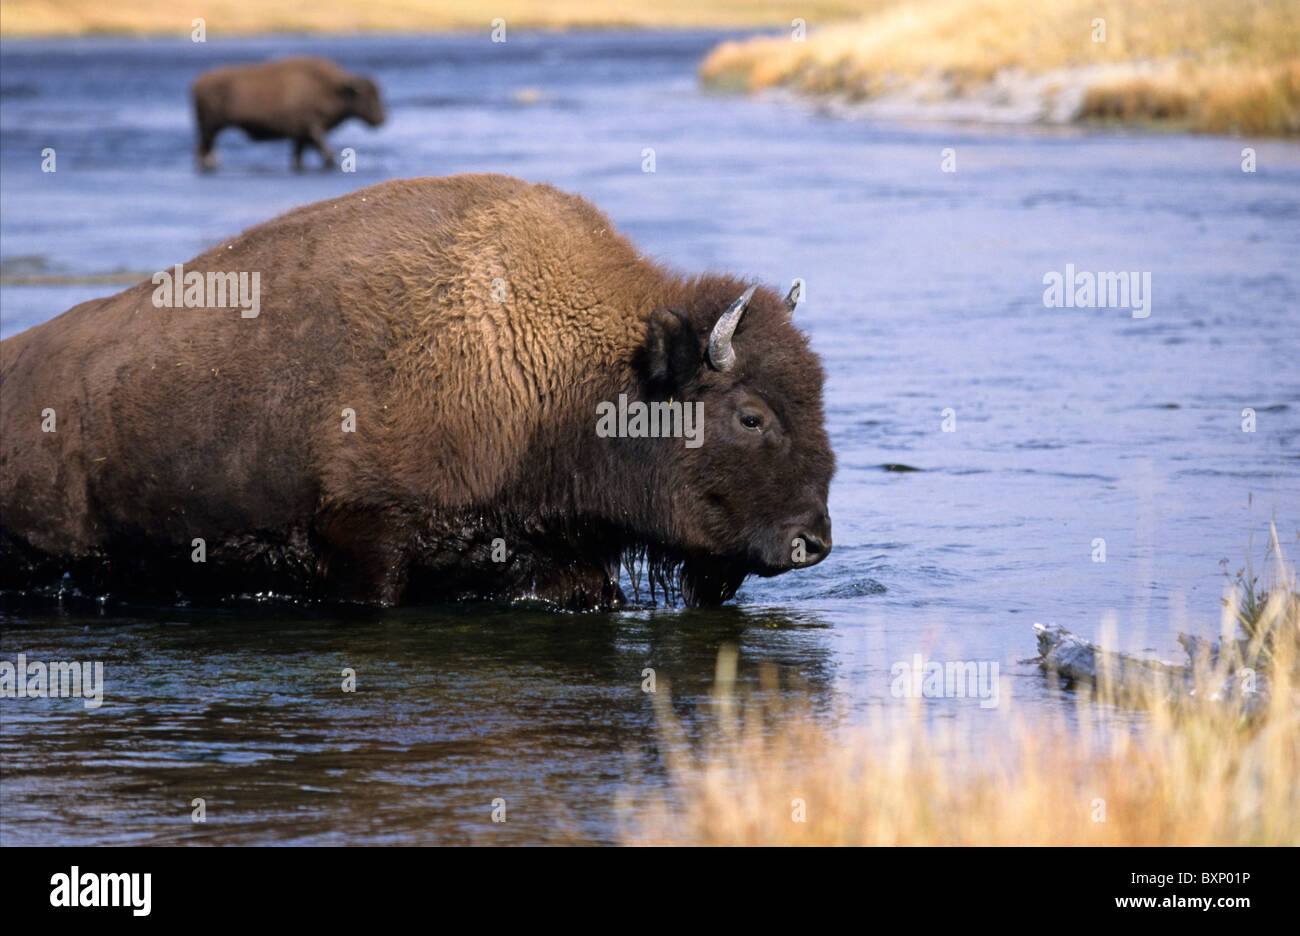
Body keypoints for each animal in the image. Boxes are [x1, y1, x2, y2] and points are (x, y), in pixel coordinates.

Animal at [191, 56, 385, 171]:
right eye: (365, 96)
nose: (381, 119)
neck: (332, 88)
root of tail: (198, 82)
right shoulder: (312, 130)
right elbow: (326, 152)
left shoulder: (300, 136)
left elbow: (298, 156)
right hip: (209, 129)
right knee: (203, 150)